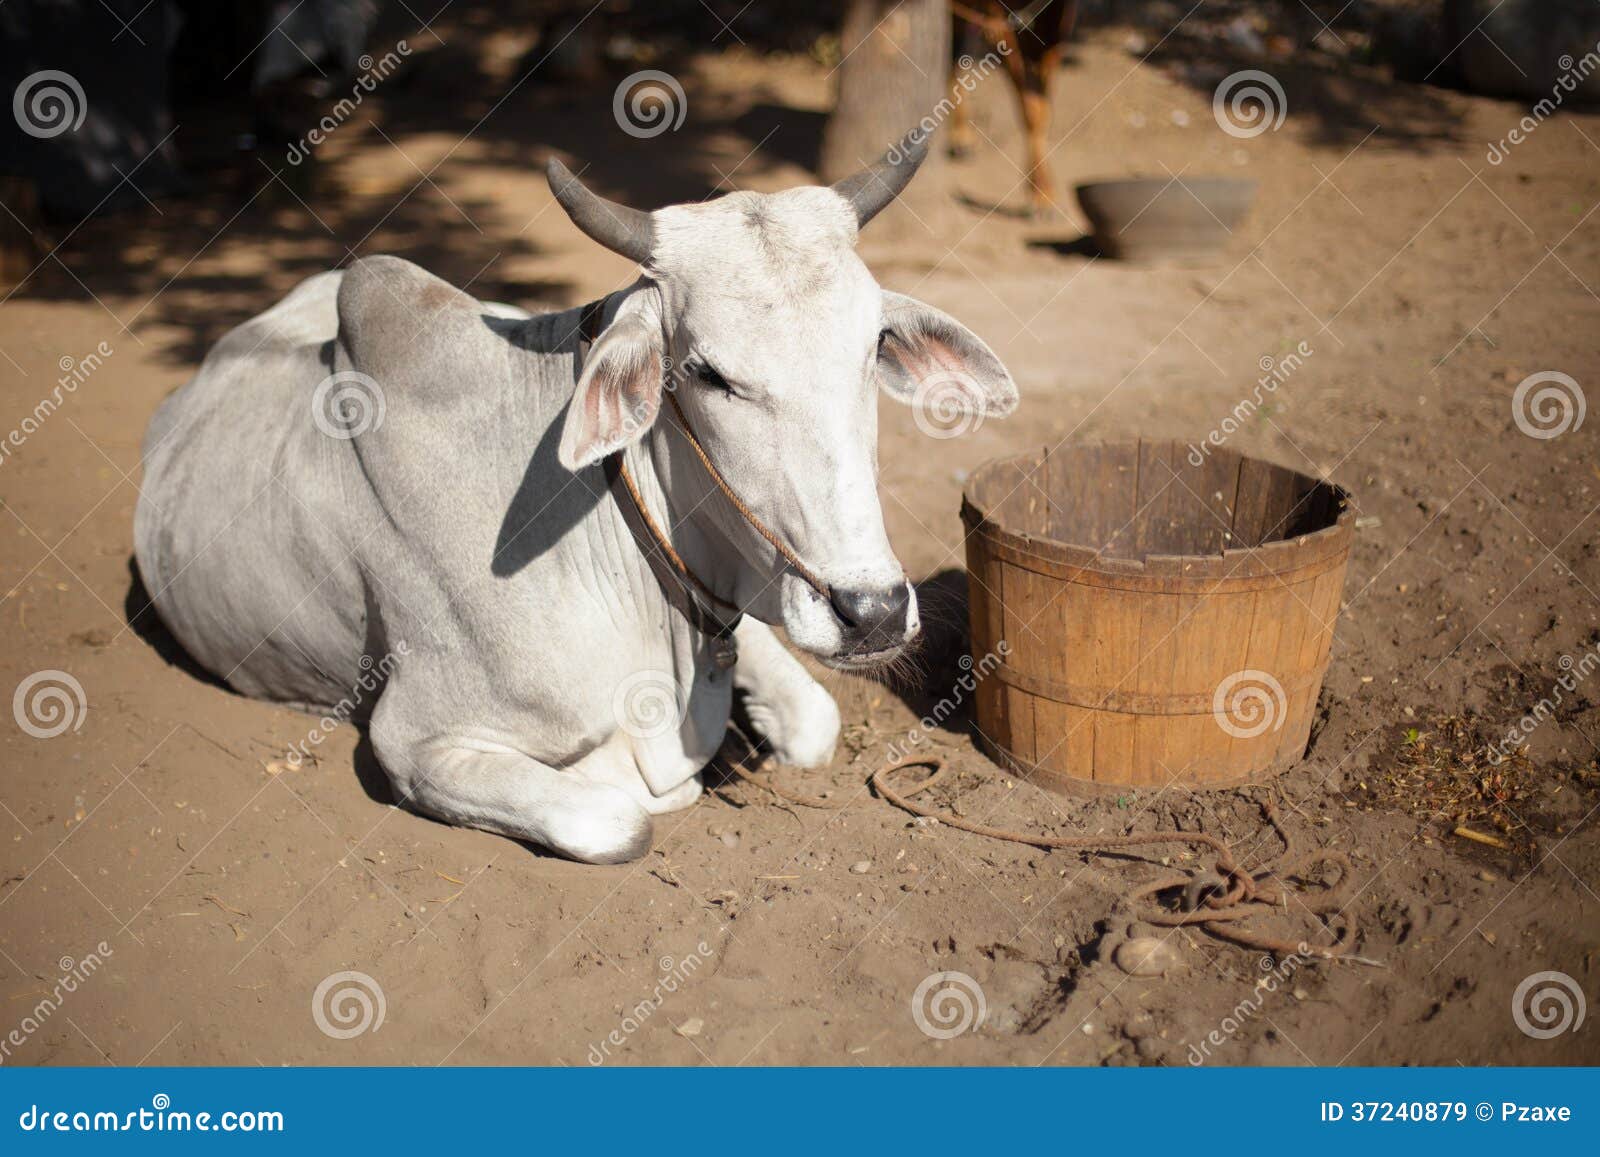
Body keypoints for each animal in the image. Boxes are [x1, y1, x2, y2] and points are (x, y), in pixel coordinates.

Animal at [132, 135, 1017, 864]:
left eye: (872, 347)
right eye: (706, 372)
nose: (871, 611)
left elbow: (813, 723)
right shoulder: (413, 740)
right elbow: (620, 817)